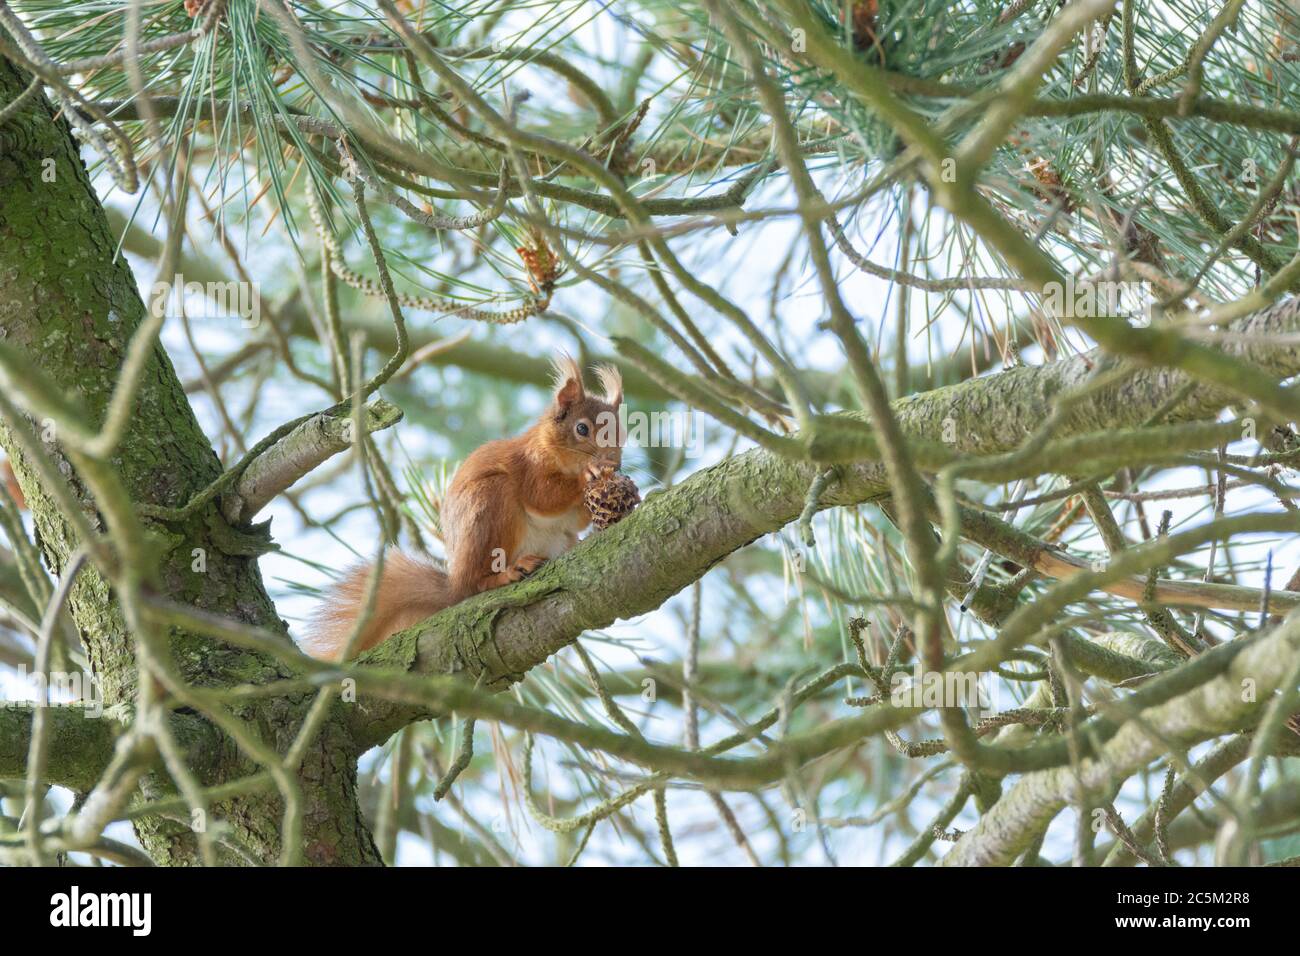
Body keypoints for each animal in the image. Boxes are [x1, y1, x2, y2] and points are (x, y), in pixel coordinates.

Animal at [302, 354, 625, 661]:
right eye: (582, 428)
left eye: (622, 433)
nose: (615, 462)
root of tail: (454, 585)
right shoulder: (530, 467)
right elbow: (543, 496)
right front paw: (589, 476)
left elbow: (575, 518)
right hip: (491, 502)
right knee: (475, 584)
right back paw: (506, 573)